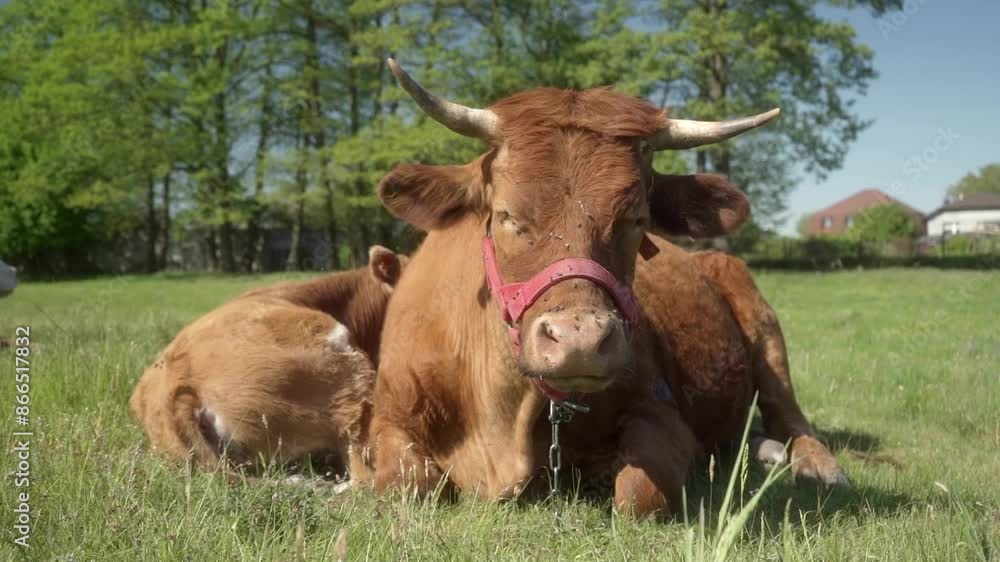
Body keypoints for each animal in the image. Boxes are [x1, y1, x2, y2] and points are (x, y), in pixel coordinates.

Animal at [367, 59, 839, 518]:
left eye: (637, 219)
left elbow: (638, 493)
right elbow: (406, 483)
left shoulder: (662, 414)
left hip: (762, 323)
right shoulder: (389, 417)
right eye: (506, 215)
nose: (580, 340)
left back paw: (815, 464)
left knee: (787, 409)